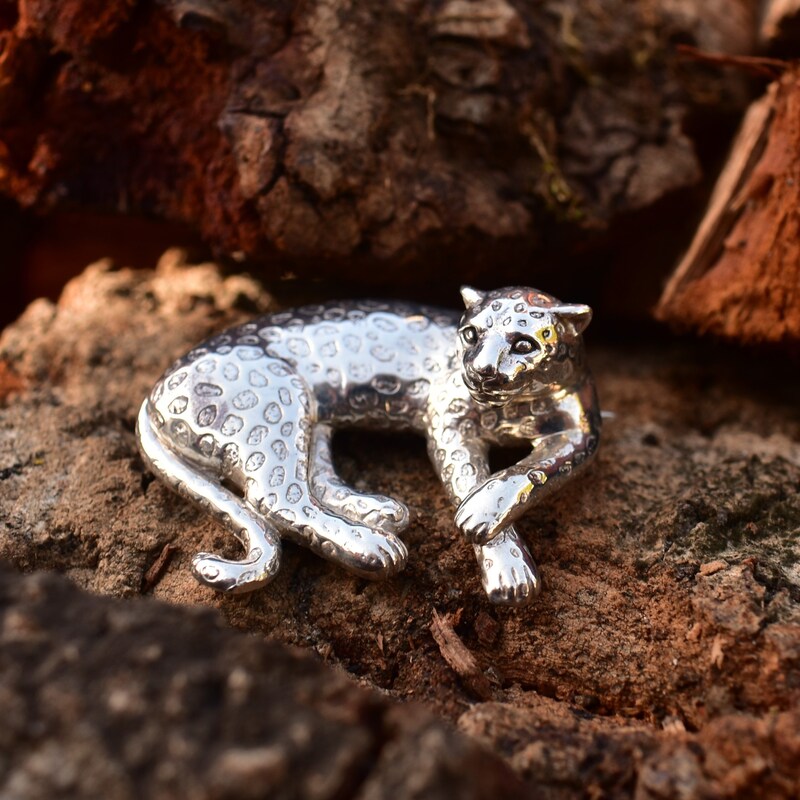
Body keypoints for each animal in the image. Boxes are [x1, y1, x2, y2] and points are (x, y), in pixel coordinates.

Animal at [136, 285, 601, 606]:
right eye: (470, 334)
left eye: (524, 343)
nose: (483, 371)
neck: (518, 403)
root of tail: (156, 389)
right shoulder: (448, 419)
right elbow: (470, 477)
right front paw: (506, 565)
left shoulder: (583, 429)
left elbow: (538, 469)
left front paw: (486, 514)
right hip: (276, 404)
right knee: (277, 500)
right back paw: (372, 545)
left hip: (314, 421)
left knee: (313, 483)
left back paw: (378, 511)